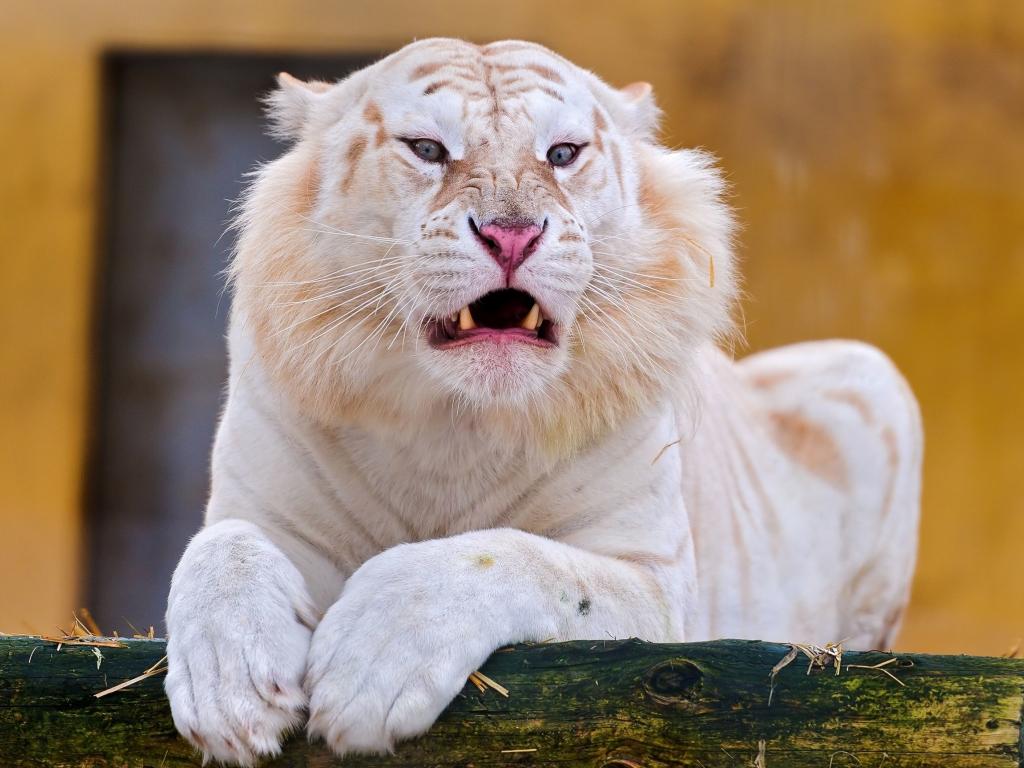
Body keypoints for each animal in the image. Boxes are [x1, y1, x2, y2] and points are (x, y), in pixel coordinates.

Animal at [164, 38, 923, 765]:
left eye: (562, 154)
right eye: (427, 149)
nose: (512, 235)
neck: (453, 423)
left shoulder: (657, 585)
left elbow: (518, 559)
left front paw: (368, 667)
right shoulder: (265, 510)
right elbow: (218, 548)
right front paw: (228, 692)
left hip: (872, 375)